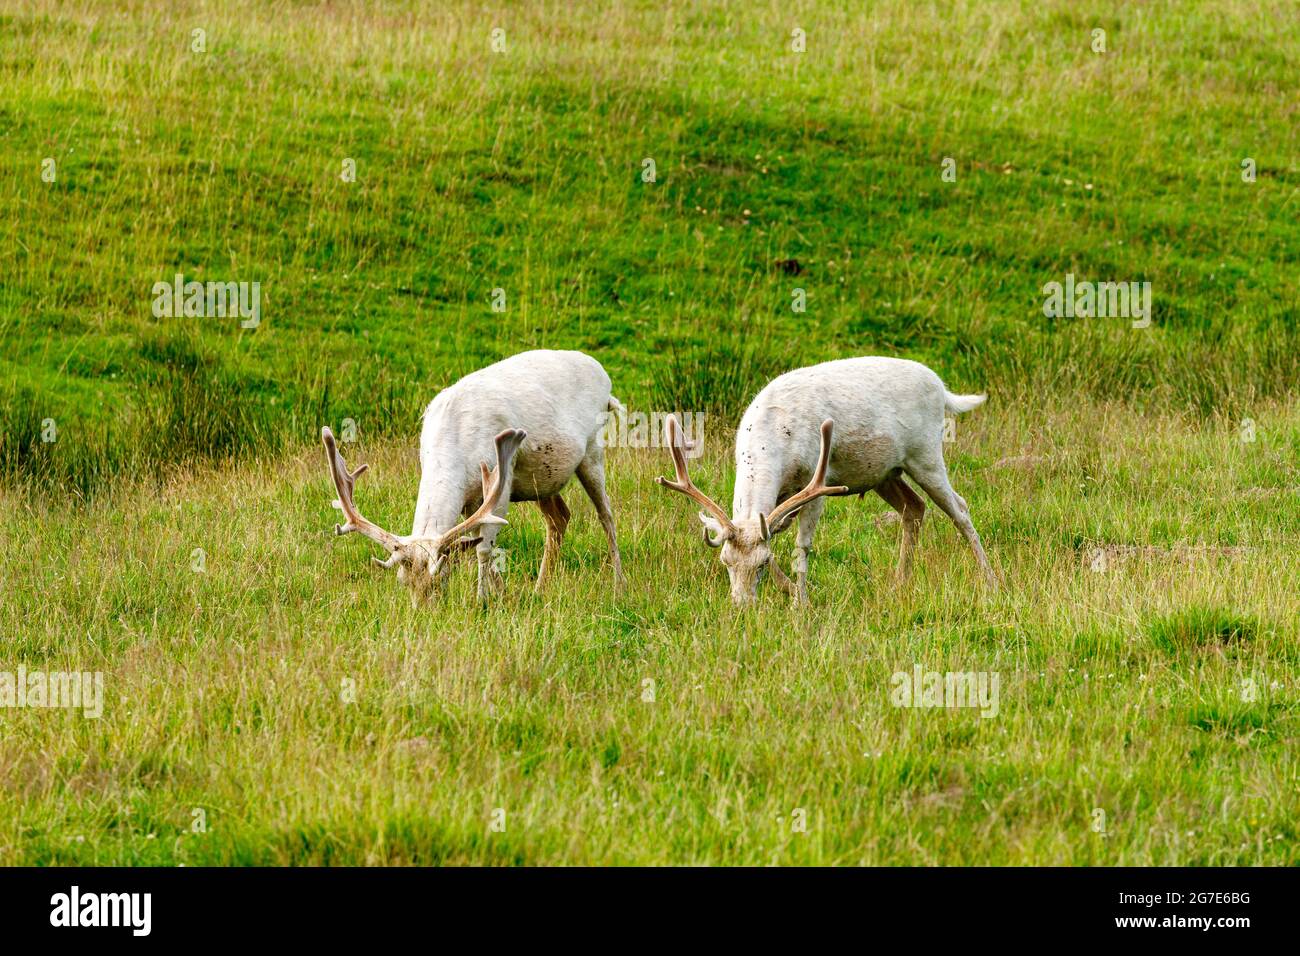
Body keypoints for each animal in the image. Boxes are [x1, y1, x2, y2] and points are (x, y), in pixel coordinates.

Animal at [322, 349, 624, 604]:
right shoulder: (470, 498)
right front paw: (504, 595)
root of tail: (603, 373)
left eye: (439, 579)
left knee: (606, 514)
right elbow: (473, 544)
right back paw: (539, 588)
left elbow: (483, 549)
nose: (421, 612)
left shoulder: (501, 483)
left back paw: (619, 584)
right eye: (403, 582)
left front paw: (483, 601)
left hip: (593, 451)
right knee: (559, 517)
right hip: (541, 479)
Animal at [656, 356, 995, 605]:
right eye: (725, 560)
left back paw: (992, 580)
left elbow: (802, 545)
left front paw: (801, 602)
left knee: (960, 508)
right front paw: (791, 590)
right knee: (915, 507)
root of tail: (941, 387)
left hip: (925, 453)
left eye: (760, 564)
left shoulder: (816, 482)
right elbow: (774, 534)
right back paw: (900, 583)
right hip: (885, 473)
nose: (742, 605)